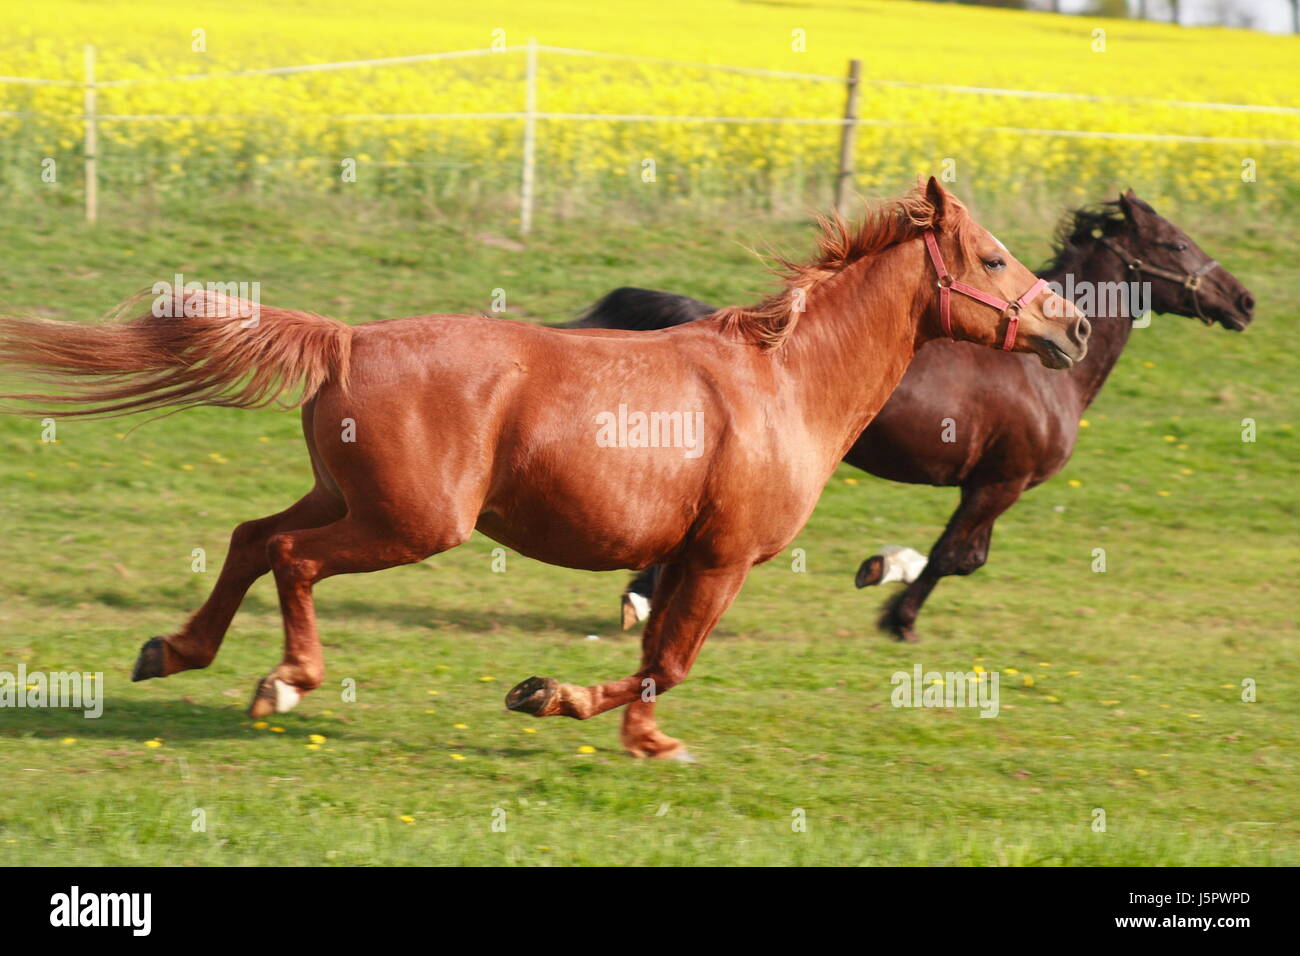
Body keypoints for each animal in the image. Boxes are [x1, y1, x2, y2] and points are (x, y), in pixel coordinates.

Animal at [0, 179, 1089, 759]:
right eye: (993, 259)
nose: (1074, 326)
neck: (783, 380)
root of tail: (348, 338)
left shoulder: (689, 553)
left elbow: (655, 654)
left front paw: (603, 721)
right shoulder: (724, 556)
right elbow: (669, 661)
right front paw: (572, 707)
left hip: (348, 494)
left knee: (250, 537)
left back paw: (174, 649)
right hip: (410, 523)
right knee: (293, 560)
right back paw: (285, 683)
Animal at [574, 190, 1254, 642]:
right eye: (1175, 244)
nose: (1243, 301)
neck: (1041, 377)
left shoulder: (992, 485)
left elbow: (966, 556)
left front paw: (881, 576)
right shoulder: (1000, 481)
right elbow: (953, 555)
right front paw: (894, 611)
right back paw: (639, 599)